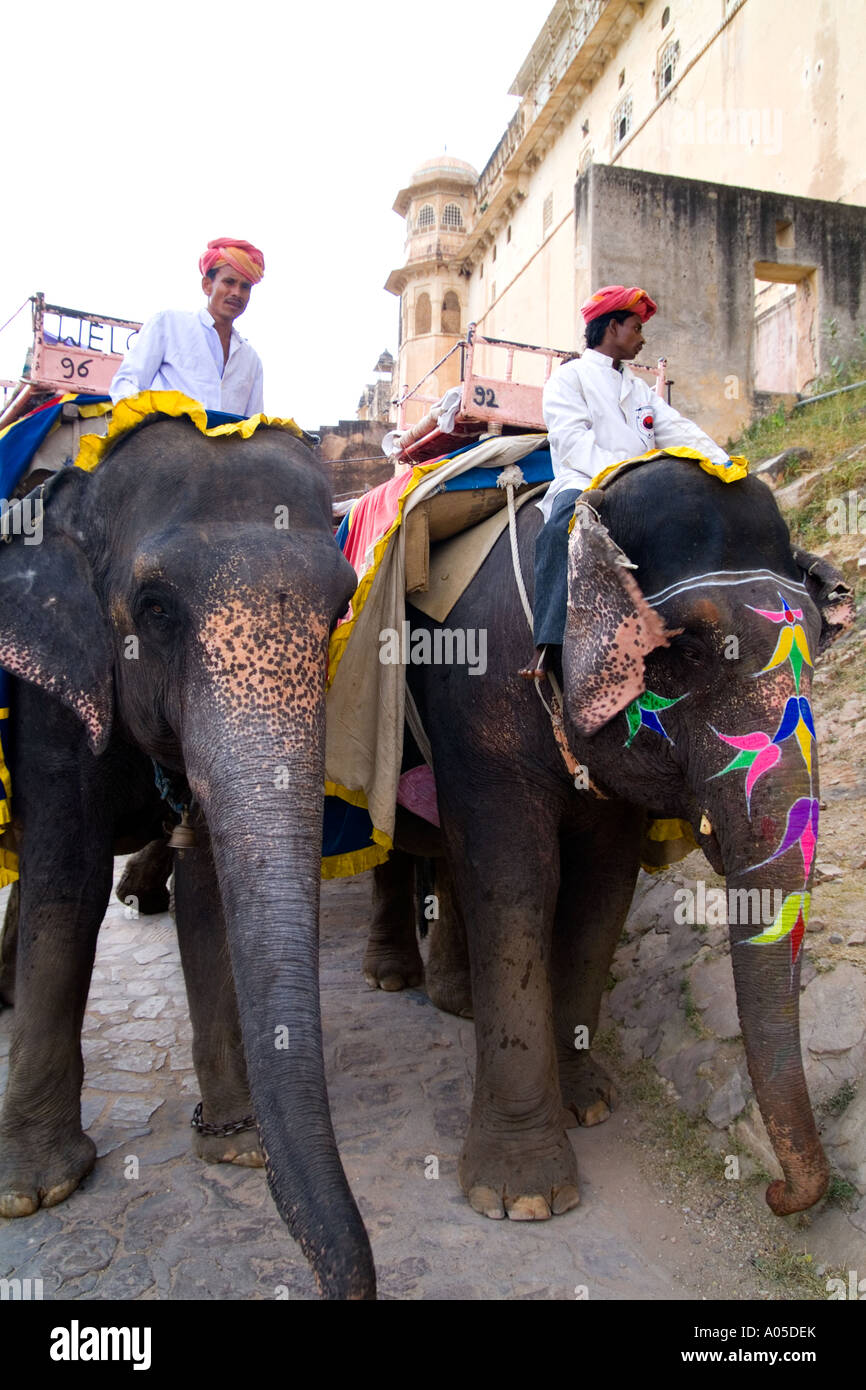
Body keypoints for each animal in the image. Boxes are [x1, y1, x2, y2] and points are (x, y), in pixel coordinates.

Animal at [0, 415, 376, 1299]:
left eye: (341, 607)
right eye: (156, 608)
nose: (347, 1285)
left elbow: (207, 889)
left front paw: (236, 1141)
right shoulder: (51, 683)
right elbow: (66, 885)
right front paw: (36, 1190)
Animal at [395, 453, 851, 1222]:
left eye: (822, 639)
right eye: (687, 650)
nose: (778, 1193)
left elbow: (601, 890)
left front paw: (589, 1104)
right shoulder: (478, 703)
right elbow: (514, 882)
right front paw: (522, 1195)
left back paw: (454, 1002)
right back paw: (394, 980)